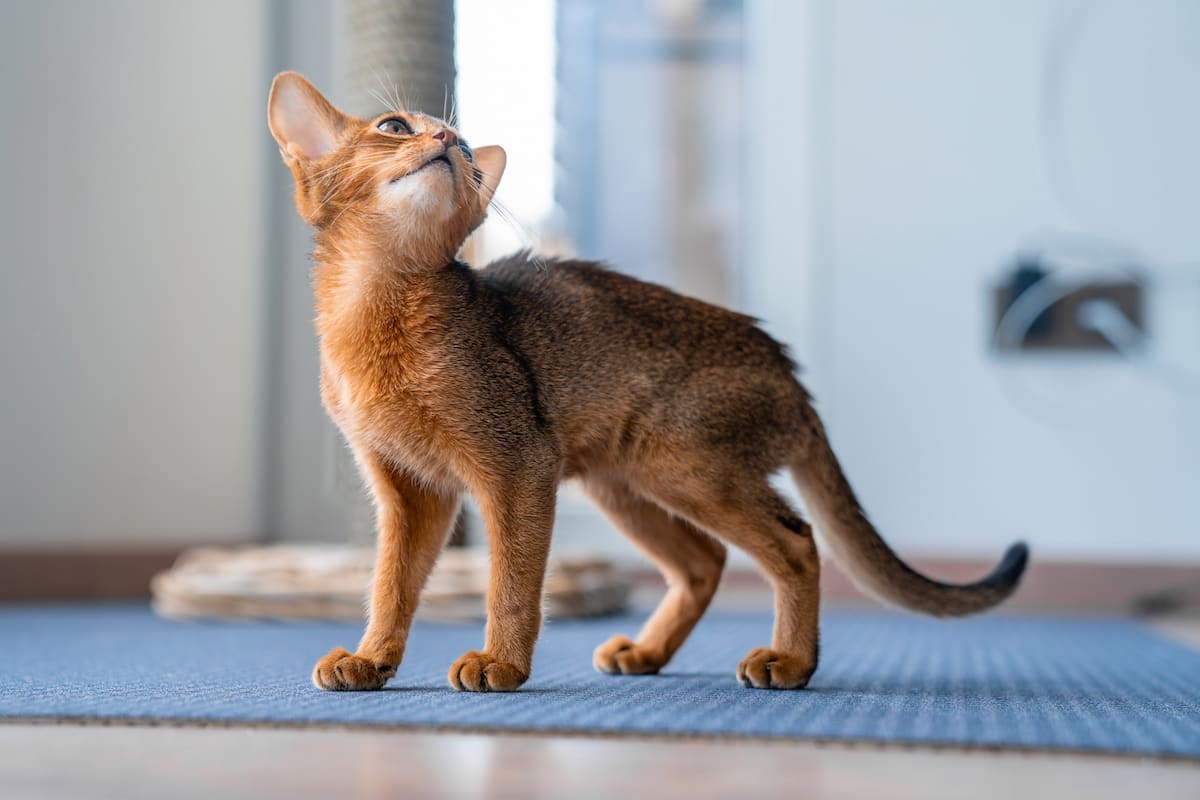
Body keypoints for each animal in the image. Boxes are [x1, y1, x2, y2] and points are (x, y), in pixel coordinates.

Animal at [267, 71, 1028, 692]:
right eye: (394, 127)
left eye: (470, 154)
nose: (451, 140)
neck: (374, 310)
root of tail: (789, 370)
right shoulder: (409, 490)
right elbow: (389, 585)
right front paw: (371, 660)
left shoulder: (518, 463)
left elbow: (511, 580)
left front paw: (501, 664)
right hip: (625, 481)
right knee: (706, 561)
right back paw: (649, 653)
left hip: (686, 463)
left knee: (796, 540)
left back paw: (790, 661)